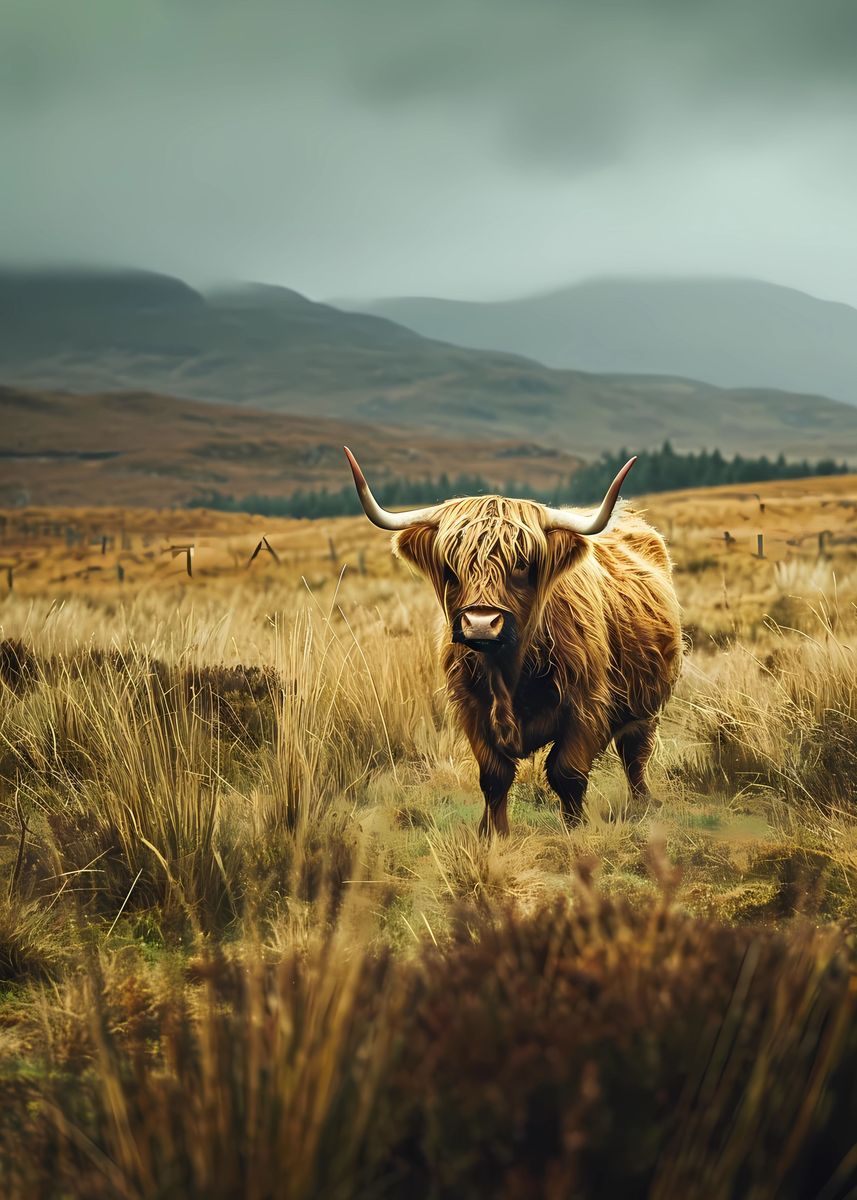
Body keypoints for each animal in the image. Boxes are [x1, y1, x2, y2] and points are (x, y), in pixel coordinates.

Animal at [344, 448, 682, 835]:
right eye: (450, 566)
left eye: (521, 564)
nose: (481, 624)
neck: (508, 670)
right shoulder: (471, 709)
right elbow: (494, 776)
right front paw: (493, 833)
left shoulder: (587, 704)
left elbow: (567, 772)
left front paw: (575, 829)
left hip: (646, 704)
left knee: (634, 752)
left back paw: (643, 804)